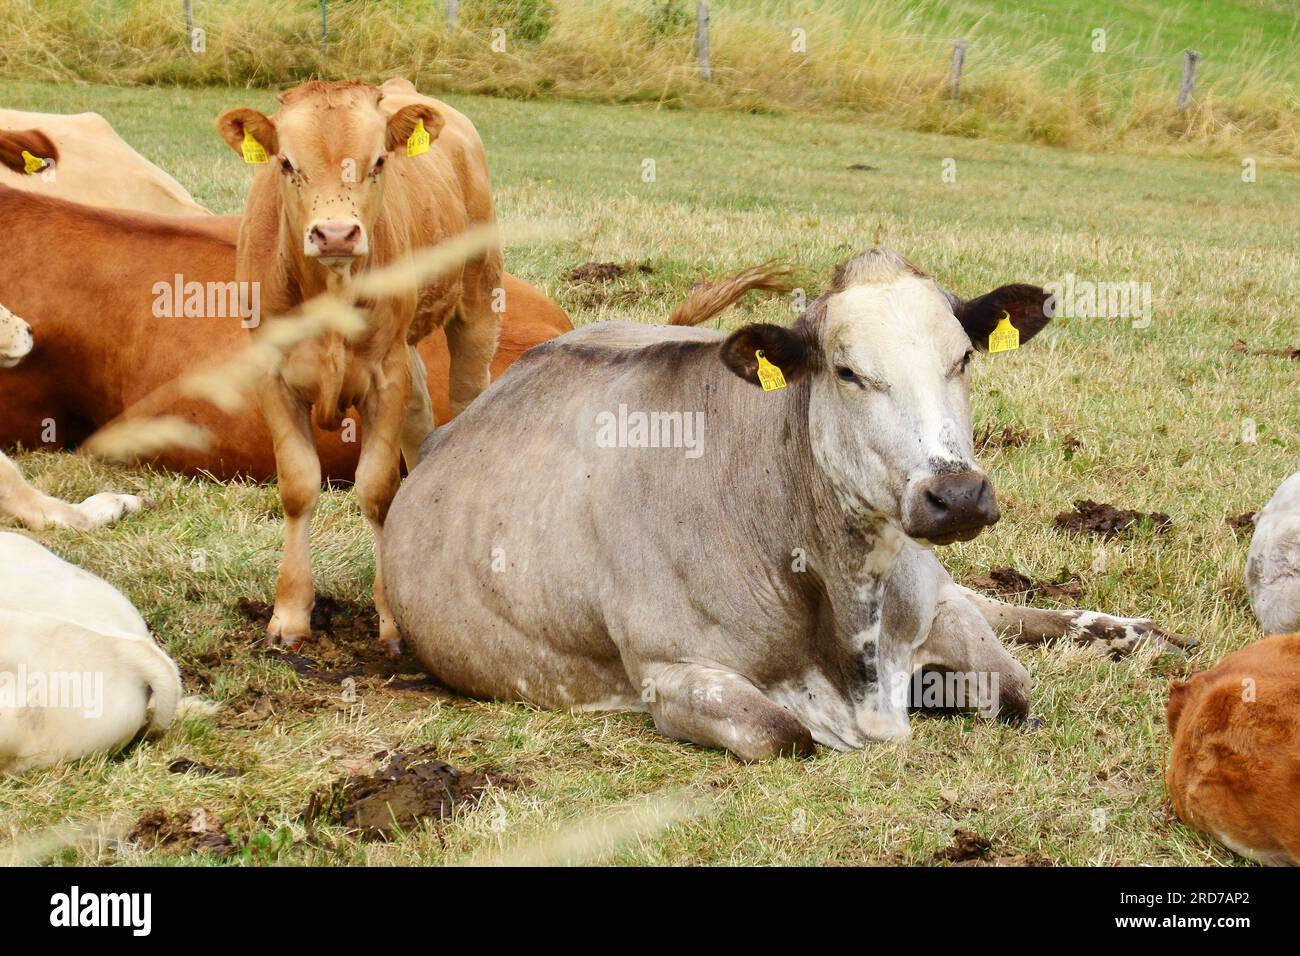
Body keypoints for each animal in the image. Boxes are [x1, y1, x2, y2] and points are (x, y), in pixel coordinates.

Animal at [214, 79, 506, 655]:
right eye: (286, 162)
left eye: (378, 162)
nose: (335, 233)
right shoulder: (273, 376)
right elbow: (298, 484)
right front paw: (290, 614)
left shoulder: (384, 377)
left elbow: (375, 489)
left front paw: (392, 620)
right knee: (420, 419)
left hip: (477, 301)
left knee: (465, 399)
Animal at [383, 249, 1191, 760]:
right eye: (847, 371)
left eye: (963, 357)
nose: (957, 495)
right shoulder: (670, 673)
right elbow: (786, 735)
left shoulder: (935, 603)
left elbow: (1015, 687)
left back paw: (1130, 630)